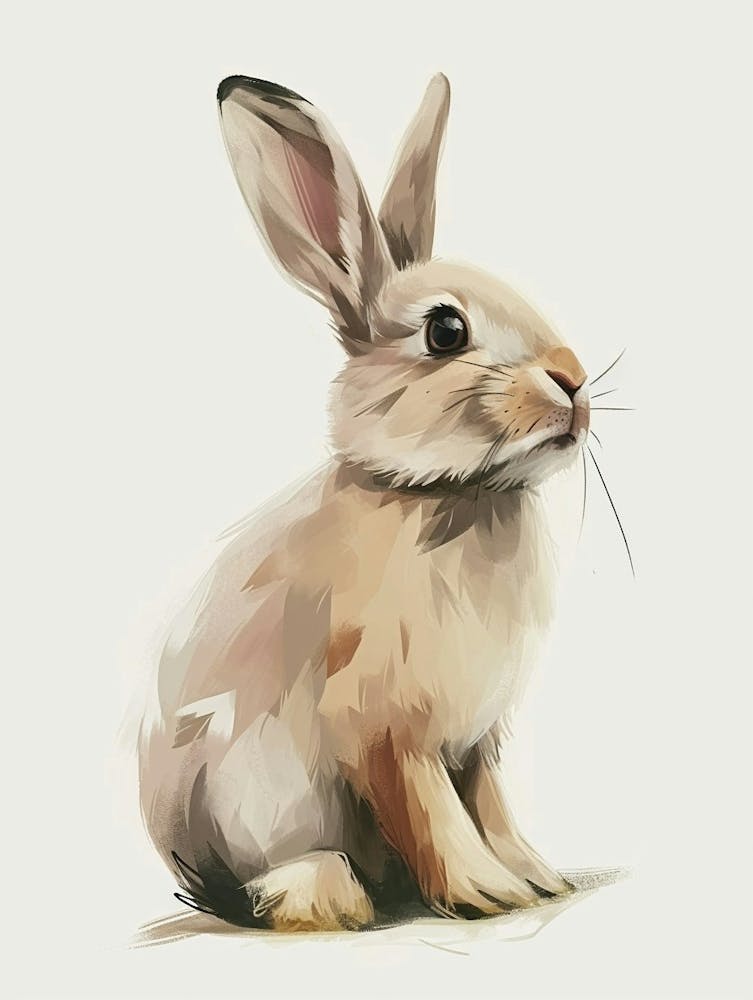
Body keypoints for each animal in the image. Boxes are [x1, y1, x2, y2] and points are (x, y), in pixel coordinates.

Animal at [138, 72, 590, 932]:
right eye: (445, 331)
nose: (573, 383)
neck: (448, 494)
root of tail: (183, 861)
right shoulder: (385, 724)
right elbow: (431, 810)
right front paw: (486, 893)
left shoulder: (477, 739)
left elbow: (489, 806)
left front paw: (536, 877)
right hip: (258, 795)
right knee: (280, 873)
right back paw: (329, 895)